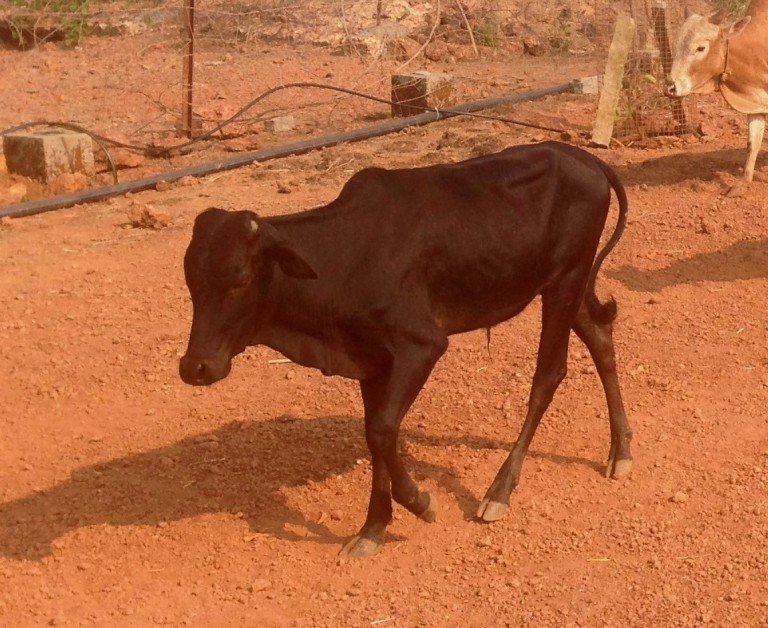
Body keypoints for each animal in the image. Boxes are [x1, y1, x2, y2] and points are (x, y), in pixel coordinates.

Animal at [179, 141, 633, 558]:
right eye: (191, 281)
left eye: (239, 278)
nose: (195, 367)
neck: (344, 258)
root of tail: (580, 155)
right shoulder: (372, 360)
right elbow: (376, 435)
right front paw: (373, 528)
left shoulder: (421, 346)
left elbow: (382, 430)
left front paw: (420, 501)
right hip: (566, 286)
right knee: (601, 339)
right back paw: (621, 451)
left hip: (564, 282)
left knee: (548, 375)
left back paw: (499, 491)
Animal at [665, 0, 768, 196]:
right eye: (676, 45)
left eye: (700, 48)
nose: (670, 88)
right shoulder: (755, 105)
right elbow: (753, 143)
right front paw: (742, 184)